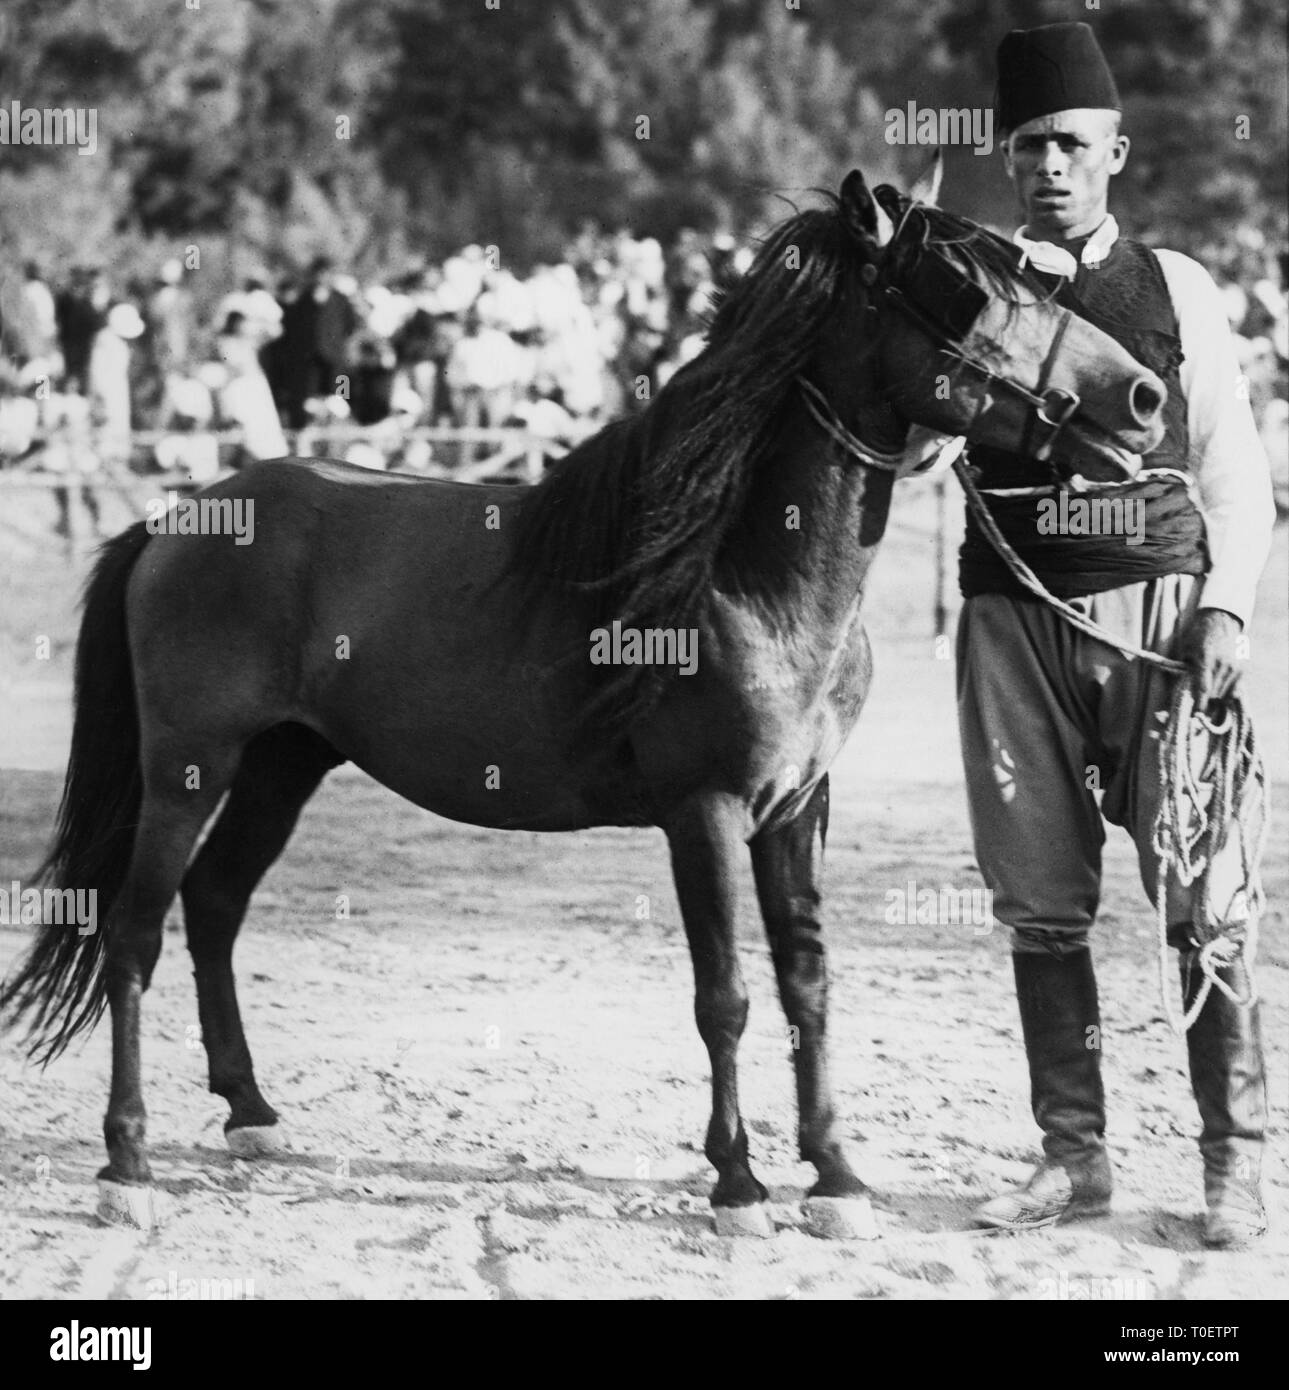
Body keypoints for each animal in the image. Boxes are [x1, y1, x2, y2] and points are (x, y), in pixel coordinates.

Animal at [1, 166, 1167, 1236]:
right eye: (962, 291)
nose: (1143, 397)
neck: (735, 571)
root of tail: (176, 516)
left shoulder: (797, 810)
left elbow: (806, 983)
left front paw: (835, 1176)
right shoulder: (704, 814)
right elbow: (724, 996)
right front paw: (737, 1184)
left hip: (283, 766)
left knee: (214, 906)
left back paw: (250, 1113)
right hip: (188, 768)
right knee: (134, 933)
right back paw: (126, 1162)